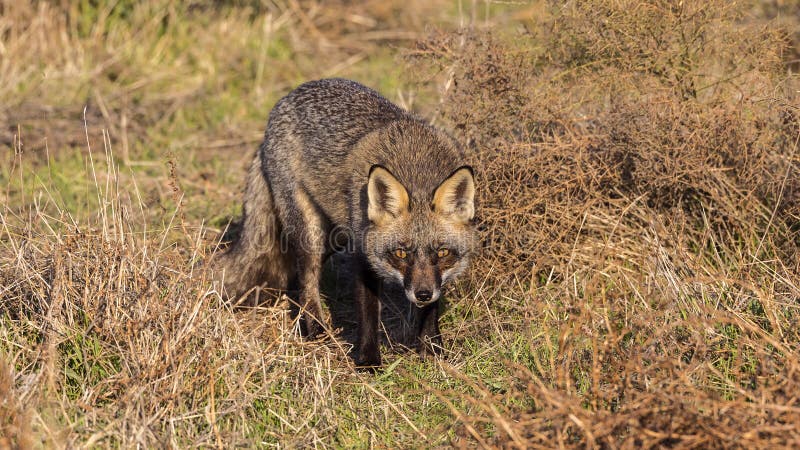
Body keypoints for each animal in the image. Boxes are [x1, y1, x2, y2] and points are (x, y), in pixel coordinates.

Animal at [213, 78, 476, 368]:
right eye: (400, 253)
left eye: (442, 253)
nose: (422, 294)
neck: (416, 166)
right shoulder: (363, 253)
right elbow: (368, 311)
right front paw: (368, 361)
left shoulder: (433, 278)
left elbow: (431, 312)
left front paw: (432, 350)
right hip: (311, 232)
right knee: (307, 279)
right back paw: (314, 328)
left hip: (334, 236)